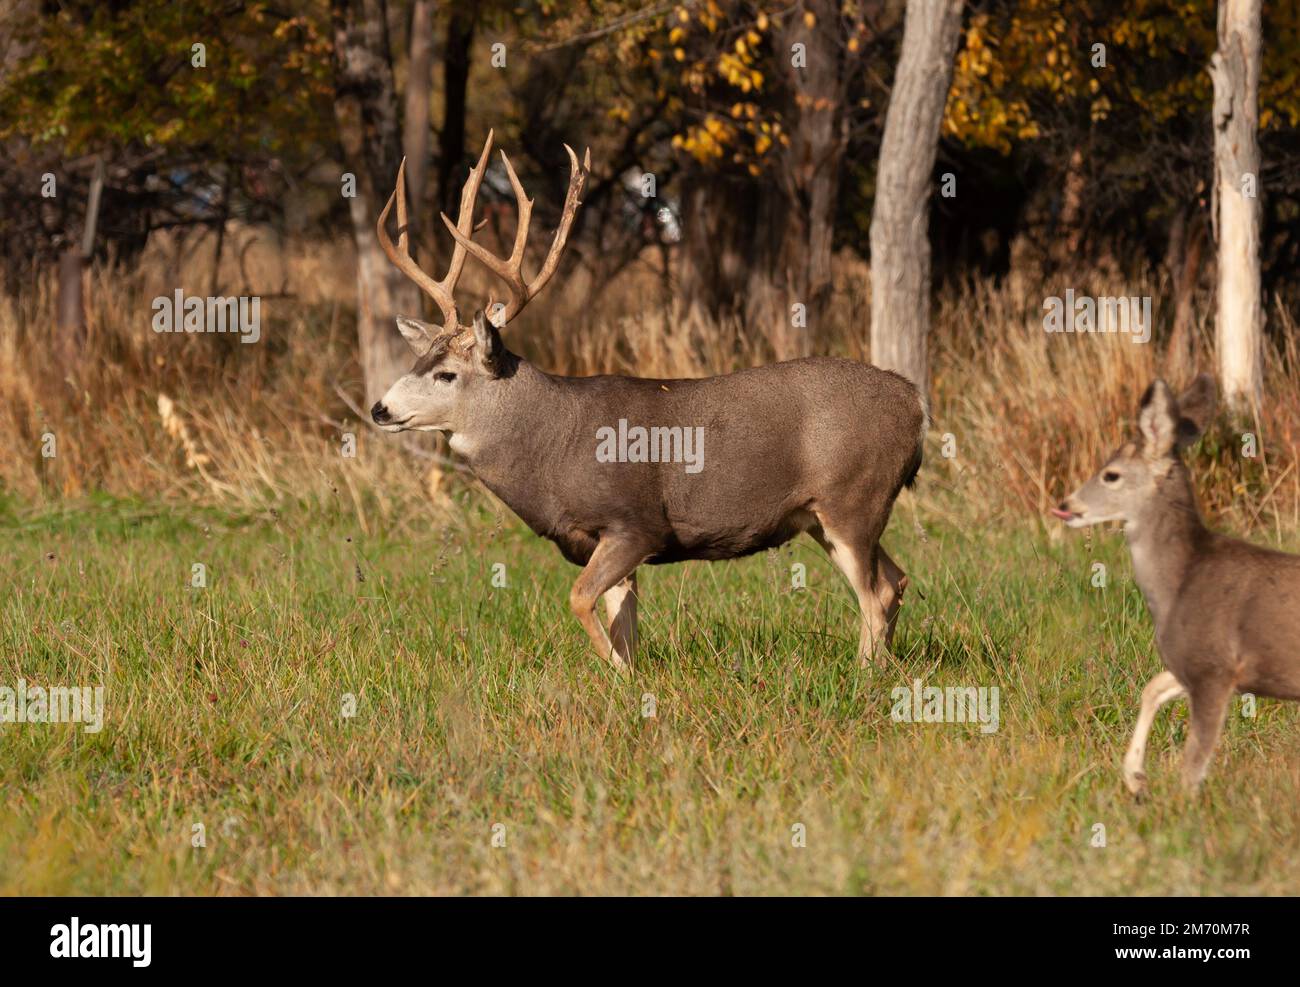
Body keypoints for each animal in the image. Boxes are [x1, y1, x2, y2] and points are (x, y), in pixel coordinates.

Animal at [370, 131, 927, 673]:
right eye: (419, 360)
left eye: (446, 374)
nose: (380, 409)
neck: (552, 444)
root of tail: (916, 403)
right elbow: (623, 623)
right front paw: (627, 679)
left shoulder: (635, 524)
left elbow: (579, 599)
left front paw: (617, 674)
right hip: (823, 517)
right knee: (896, 579)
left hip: (853, 496)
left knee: (875, 592)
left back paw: (865, 676)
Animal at [1053, 375, 1300, 794]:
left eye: (1110, 474)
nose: (1066, 504)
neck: (1179, 582)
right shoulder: (1188, 663)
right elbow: (1151, 688)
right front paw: (1135, 776)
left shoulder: (1215, 667)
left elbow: (1193, 763)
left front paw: (1178, 804)